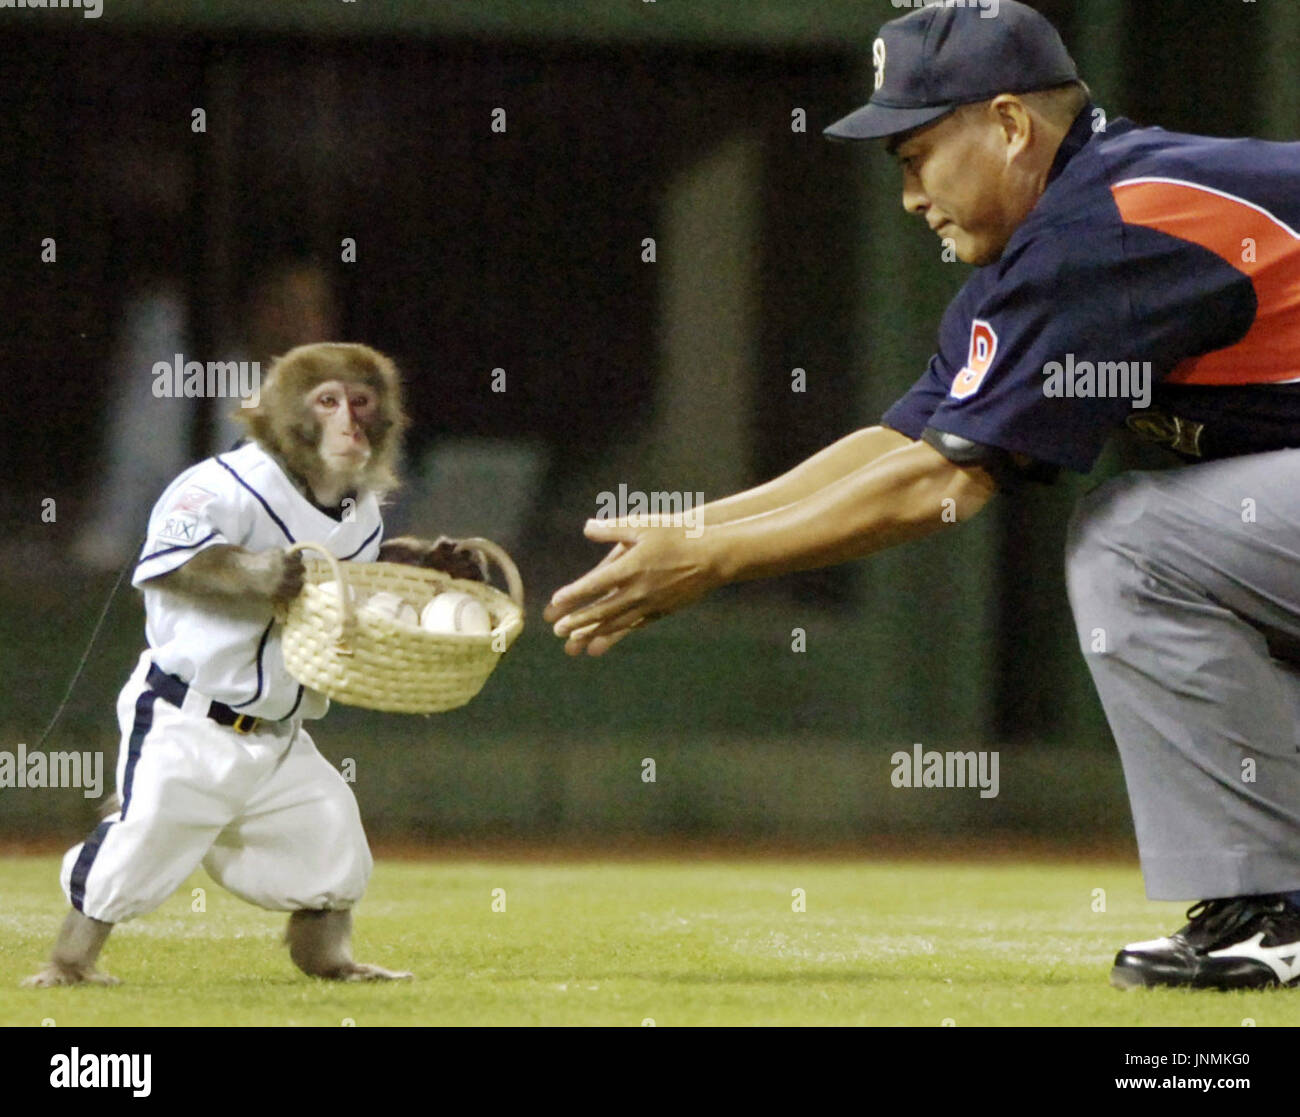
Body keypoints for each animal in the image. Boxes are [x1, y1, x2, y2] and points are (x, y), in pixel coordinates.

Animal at [24, 342, 482, 988]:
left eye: (360, 400)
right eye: (327, 400)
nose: (350, 426)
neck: (311, 484)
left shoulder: (364, 524)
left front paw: (448, 559)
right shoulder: (212, 488)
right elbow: (188, 563)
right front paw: (270, 575)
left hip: (293, 792)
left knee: (328, 859)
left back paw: (331, 960)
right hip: (170, 773)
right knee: (130, 855)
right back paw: (70, 964)